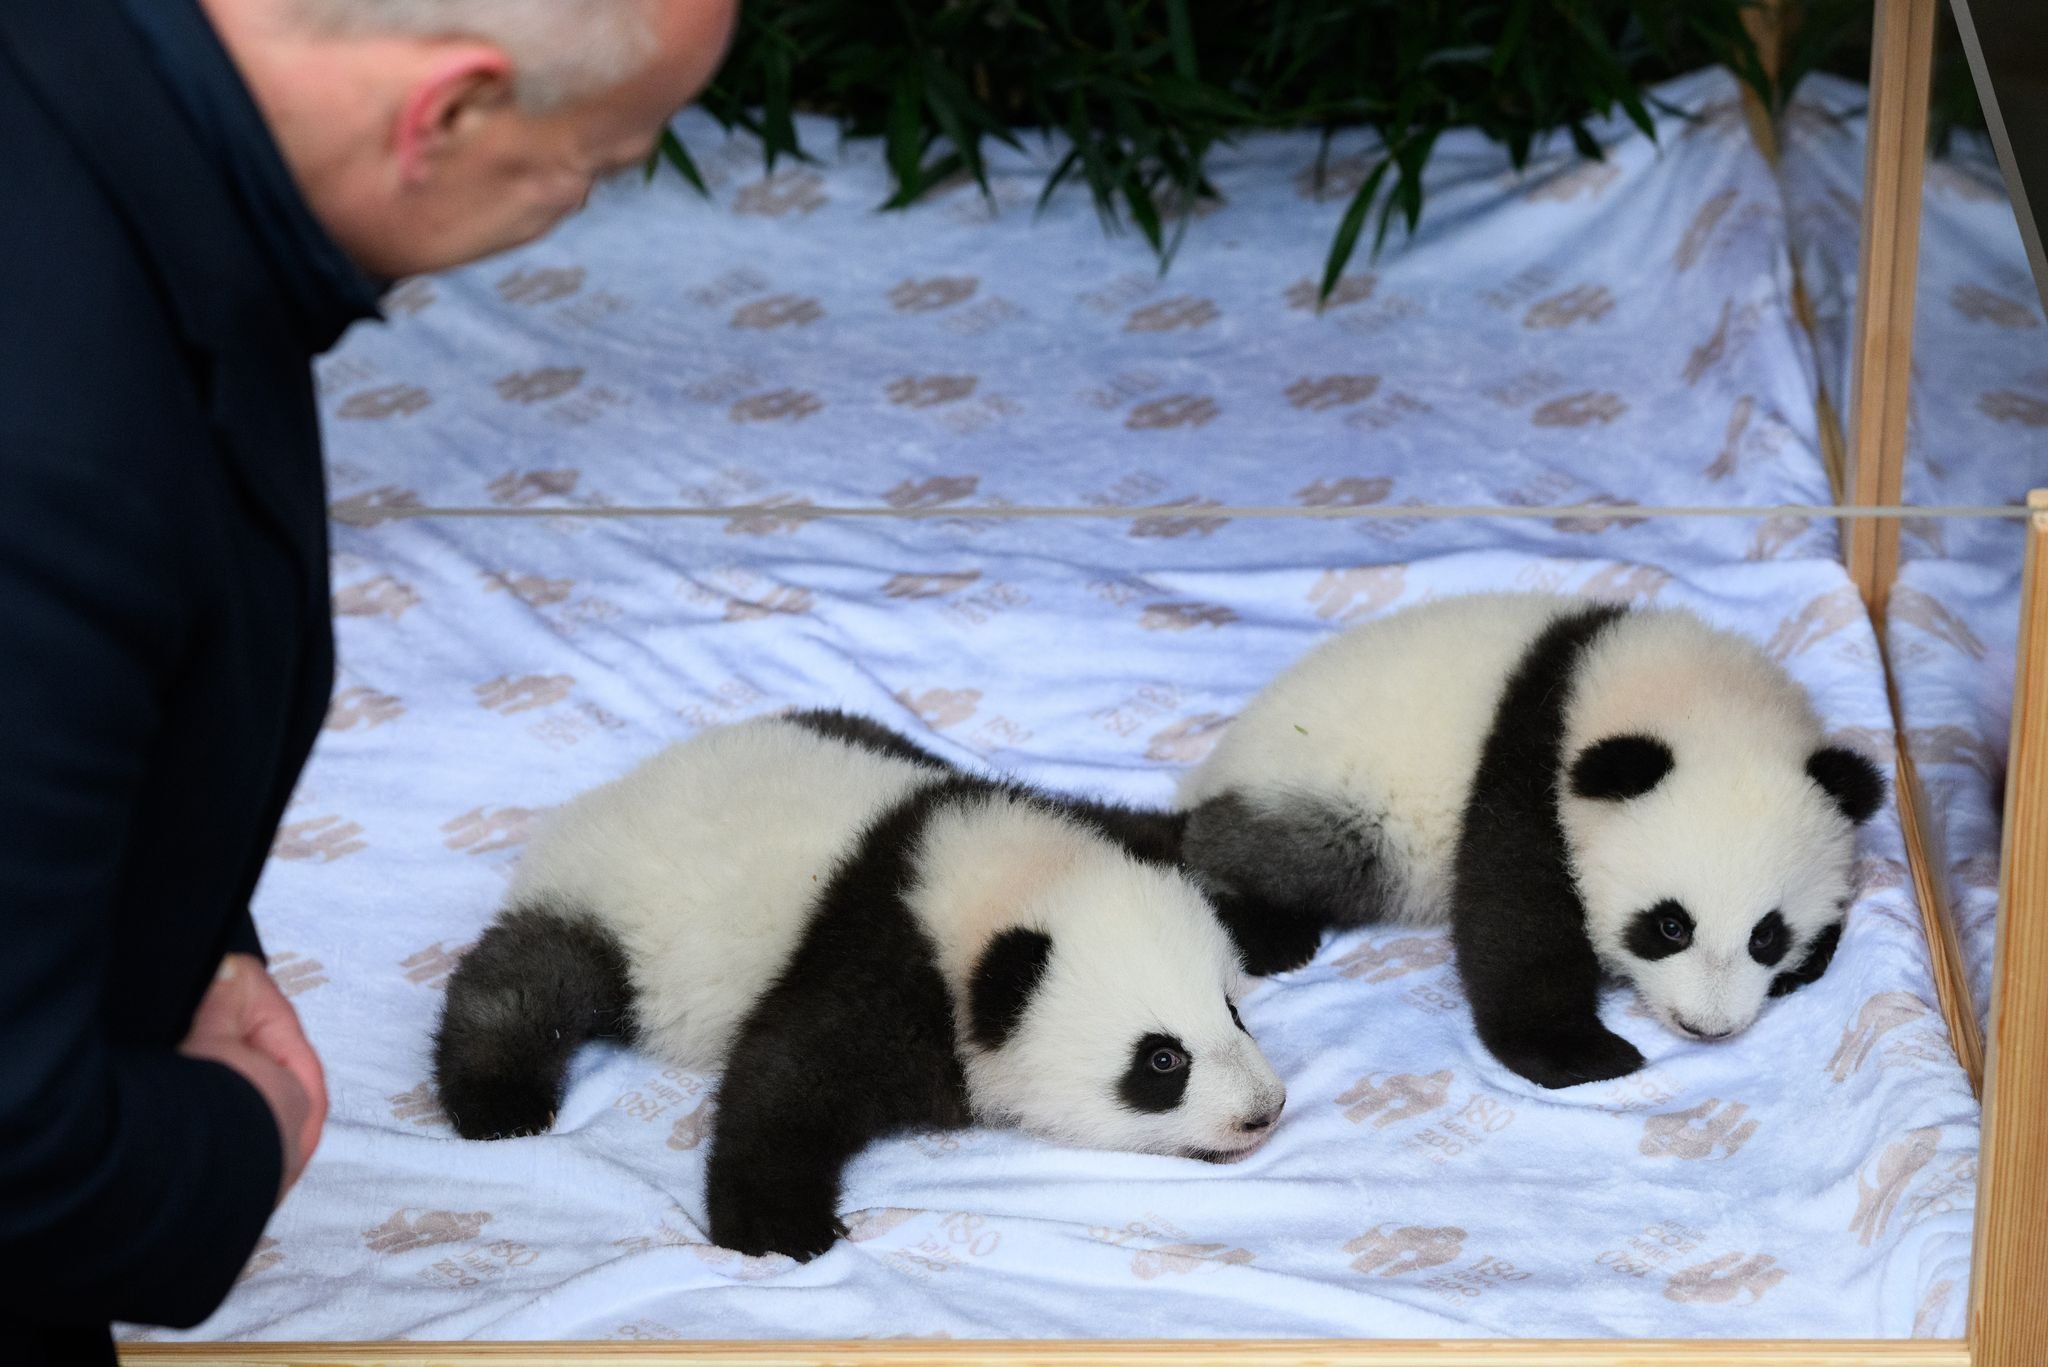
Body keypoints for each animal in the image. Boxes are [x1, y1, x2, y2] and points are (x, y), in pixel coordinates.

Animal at [434, 710, 1286, 1261]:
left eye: (1231, 1010)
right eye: (1162, 1061)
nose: (1264, 1112)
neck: (992, 887)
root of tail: (602, 797)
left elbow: (1170, 836)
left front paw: (1272, 916)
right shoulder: (882, 970)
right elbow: (787, 1075)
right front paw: (779, 1225)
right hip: (611, 921)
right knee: (527, 983)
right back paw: (499, 1099)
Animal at [1177, 593, 1887, 1091]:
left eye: (1767, 935)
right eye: (1668, 926)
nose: (1705, 1027)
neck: (1702, 703)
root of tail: (1213, 769)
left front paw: (1810, 961)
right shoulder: (1532, 762)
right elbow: (1514, 916)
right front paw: (1578, 1053)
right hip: (1334, 801)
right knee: (1270, 855)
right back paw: (1266, 931)